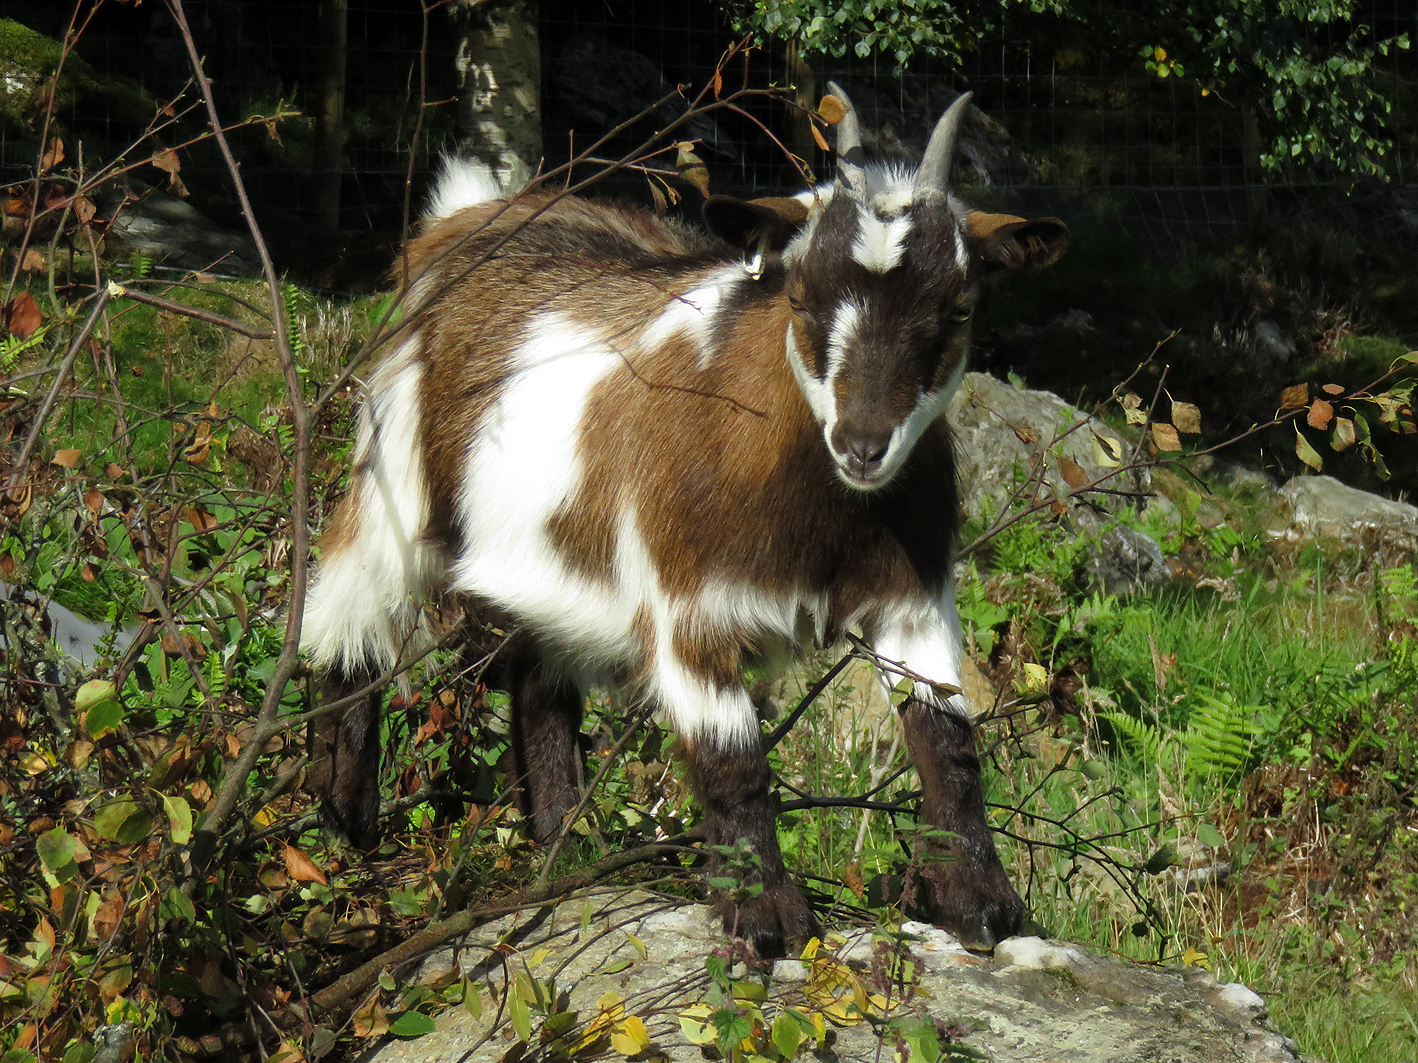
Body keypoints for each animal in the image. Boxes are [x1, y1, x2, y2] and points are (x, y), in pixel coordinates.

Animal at [301, 86, 1067, 956]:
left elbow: (949, 737)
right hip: (394, 467)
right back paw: (343, 814)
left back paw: (568, 839)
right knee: (349, 612)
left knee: (538, 672)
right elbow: (733, 759)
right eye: (800, 294)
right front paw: (764, 917)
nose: (864, 444)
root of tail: (464, 216)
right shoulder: (687, 604)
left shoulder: (914, 598)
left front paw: (981, 900)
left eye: (960, 305)